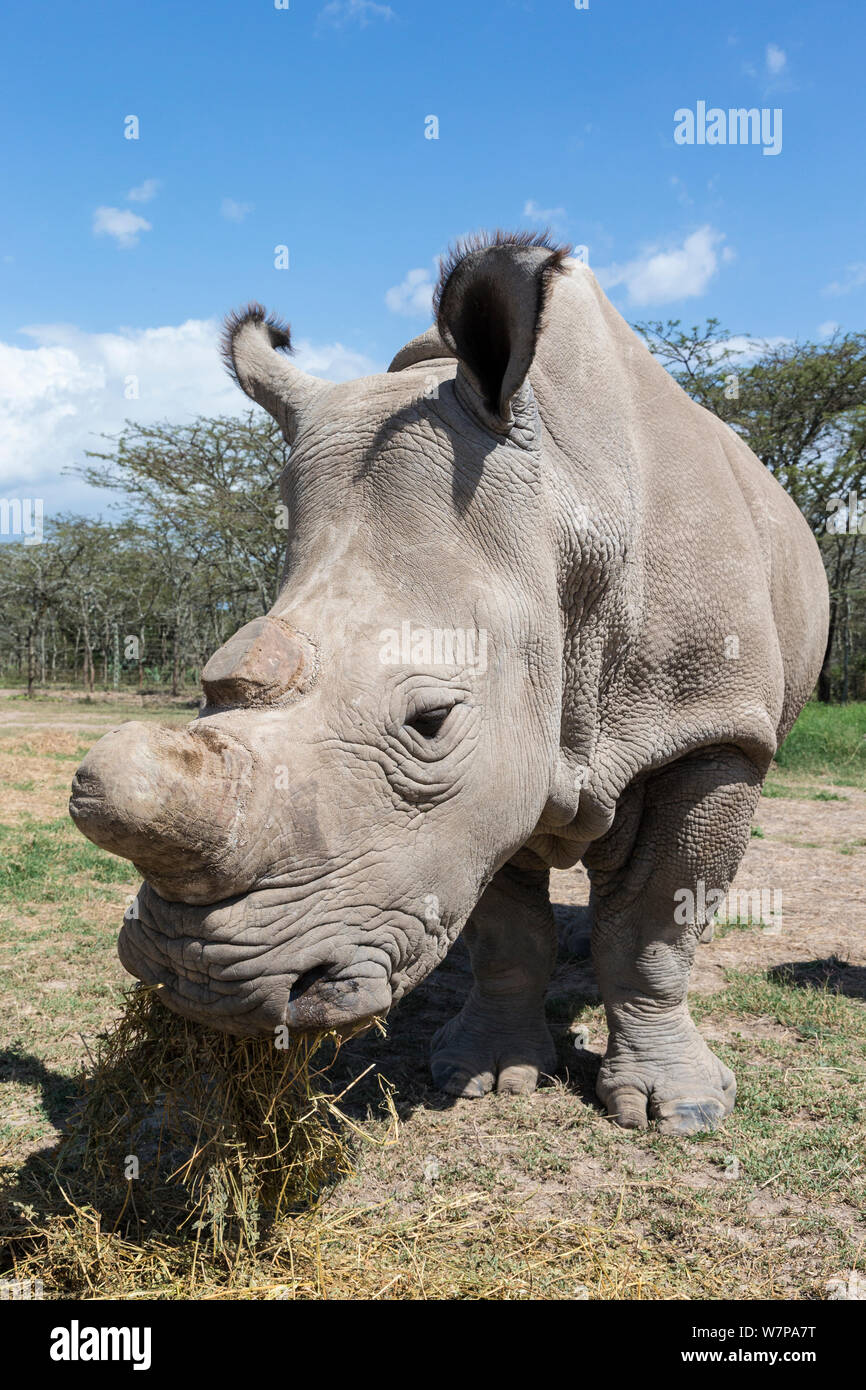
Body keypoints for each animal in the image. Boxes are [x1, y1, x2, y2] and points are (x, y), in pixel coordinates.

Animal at [69, 232, 828, 1135]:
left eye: (430, 720)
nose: (198, 981)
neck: (568, 507)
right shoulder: (486, 779)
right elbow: (502, 924)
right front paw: (483, 1076)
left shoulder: (711, 726)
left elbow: (653, 926)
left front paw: (675, 1112)